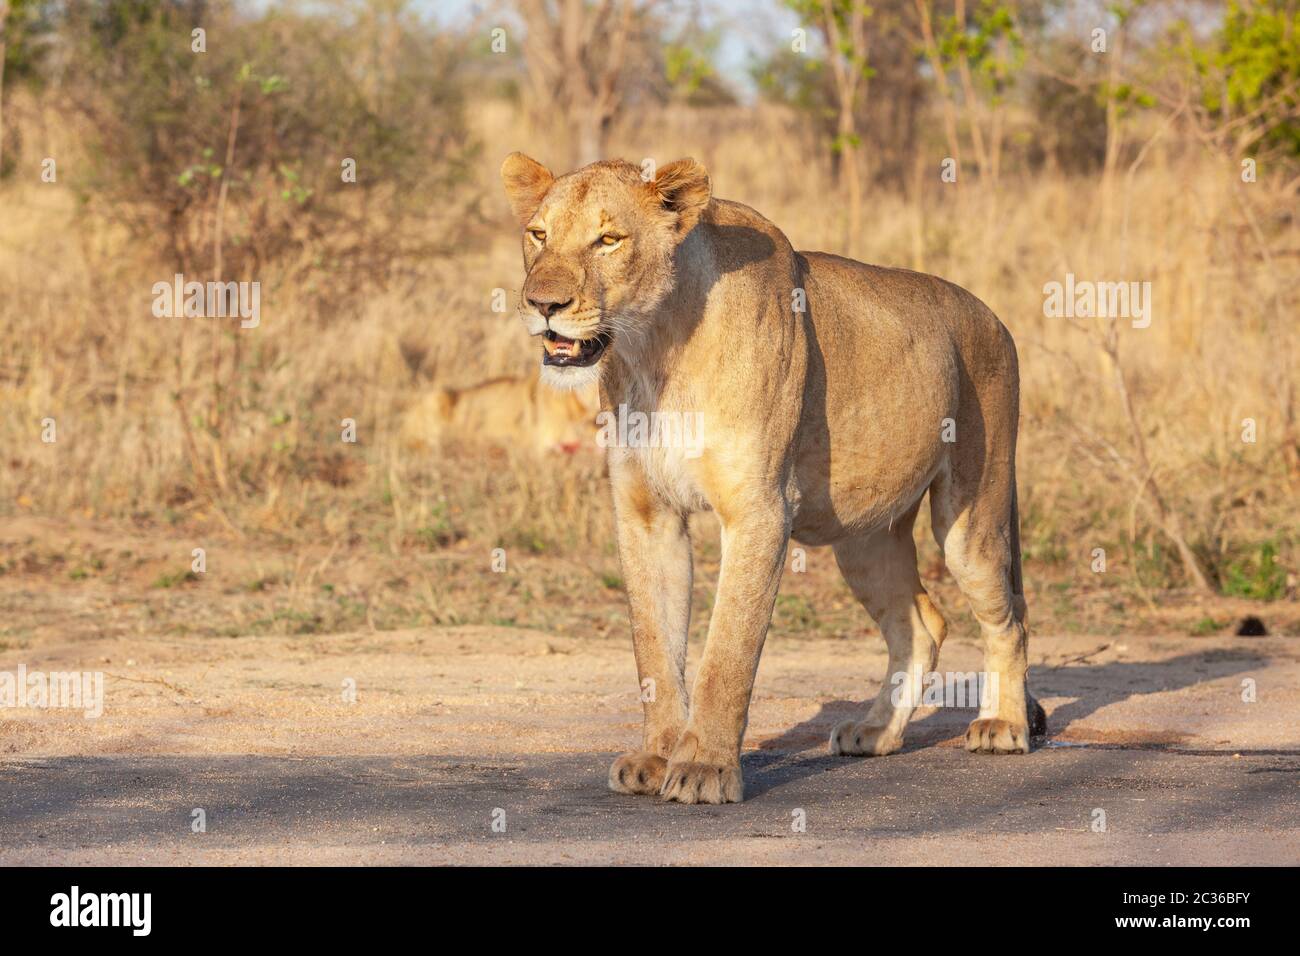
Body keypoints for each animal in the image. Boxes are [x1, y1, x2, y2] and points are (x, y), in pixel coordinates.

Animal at [501, 152, 1046, 805]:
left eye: (608, 240)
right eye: (538, 234)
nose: (542, 304)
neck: (653, 349)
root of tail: (993, 316)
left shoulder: (759, 508)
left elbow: (727, 653)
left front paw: (704, 768)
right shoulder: (647, 514)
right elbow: (654, 649)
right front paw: (656, 757)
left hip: (973, 515)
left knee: (1008, 619)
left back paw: (1003, 725)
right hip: (865, 538)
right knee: (920, 623)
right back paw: (874, 732)